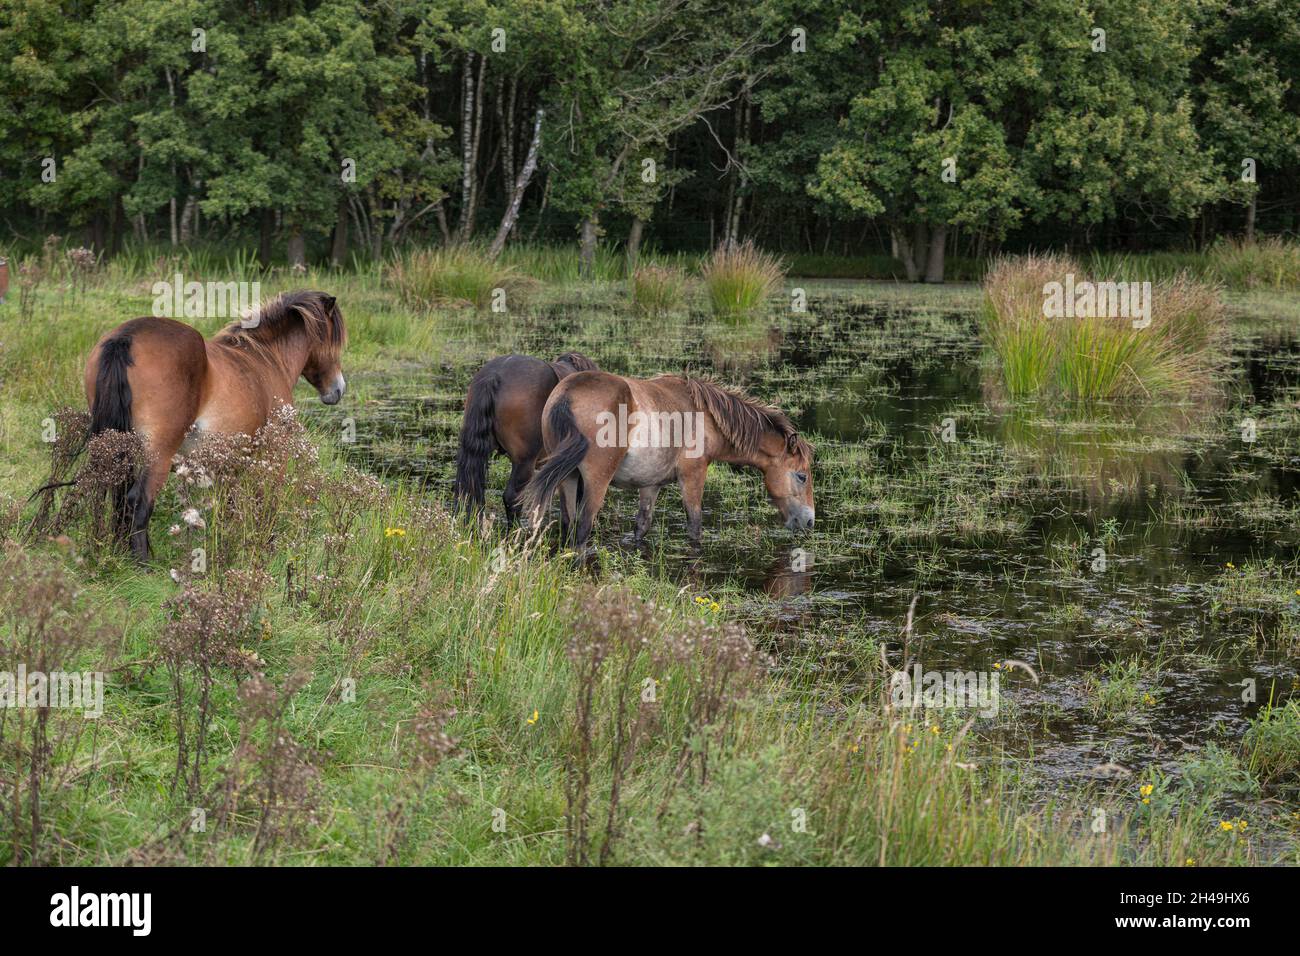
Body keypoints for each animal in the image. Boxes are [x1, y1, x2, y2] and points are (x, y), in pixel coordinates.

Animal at [83, 290, 346, 561]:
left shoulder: (230, 464)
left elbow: (228, 510)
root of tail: (125, 338)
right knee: (138, 501)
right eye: (333, 341)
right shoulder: (272, 457)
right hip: (158, 454)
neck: (267, 359)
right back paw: (141, 563)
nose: (338, 389)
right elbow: (265, 504)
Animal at [521, 371, 814, 549]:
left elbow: (642, 526)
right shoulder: (693, 476)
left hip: (568, 479)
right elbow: (694, 526)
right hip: (596, 482)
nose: (810, 521)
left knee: (569, 525)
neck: (706, 417)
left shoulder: (651, 485)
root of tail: (567, 393)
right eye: (802, 476)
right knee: (582, 529)